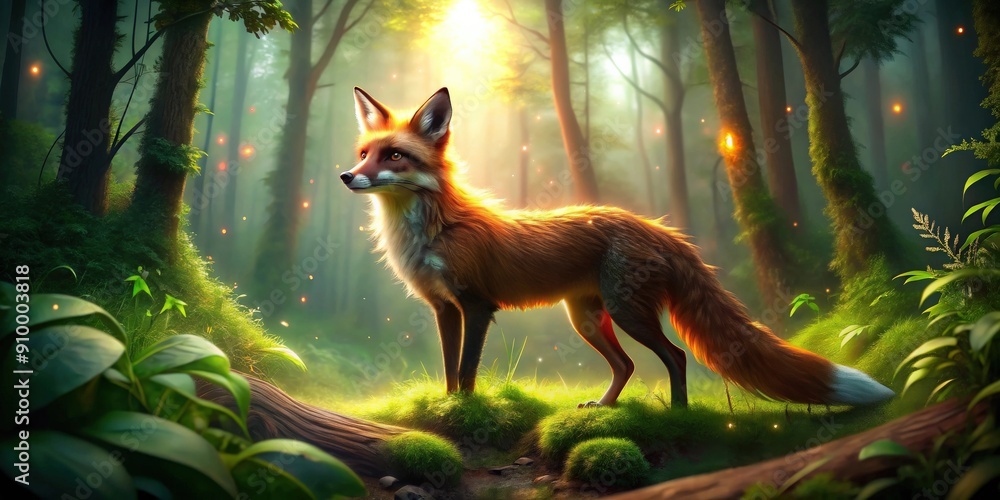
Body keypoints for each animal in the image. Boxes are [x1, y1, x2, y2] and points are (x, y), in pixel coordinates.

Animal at [341, 86, 895, 409]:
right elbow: (450, 370)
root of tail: (659, 228)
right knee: (627, 366)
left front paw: (466, 414)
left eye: (394, 156)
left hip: (628, 312)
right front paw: (448, 409)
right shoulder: (444, 309)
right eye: (365, 153)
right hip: (587, 319)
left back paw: (678, 416)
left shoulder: (477, 306)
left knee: (675, 357)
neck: (432, 231)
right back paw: (606, 407)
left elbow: (469, 370)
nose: (347, 176)